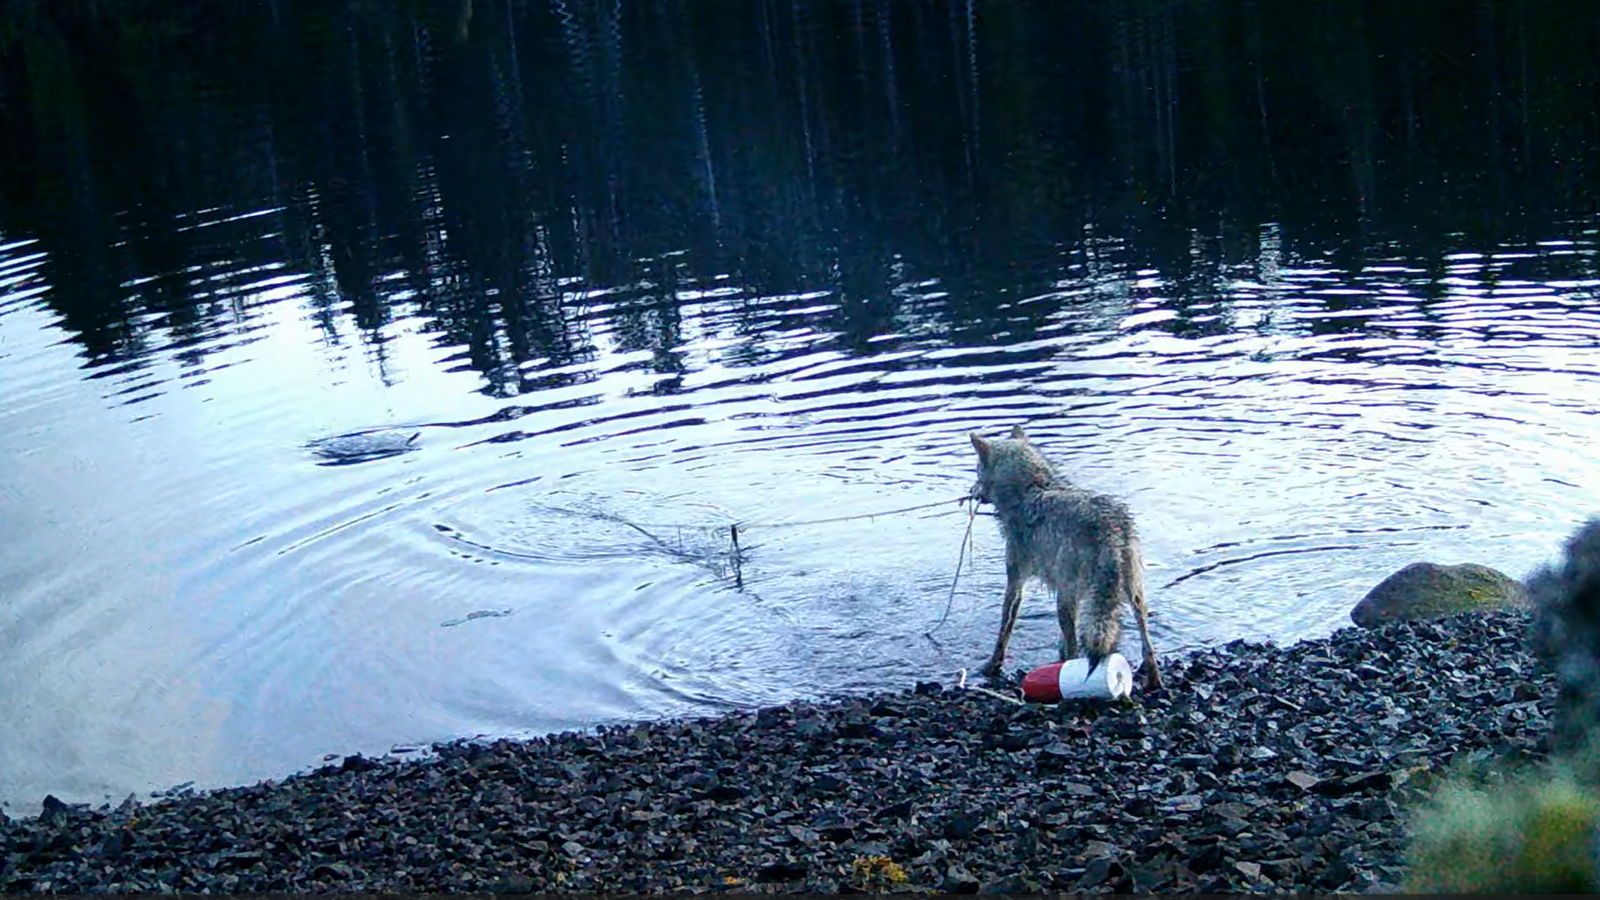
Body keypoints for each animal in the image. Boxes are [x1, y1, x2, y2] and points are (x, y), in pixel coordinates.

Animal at [968, 424, 1161, 691]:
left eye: (977, 470)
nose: (970, 491)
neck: (1033, 488)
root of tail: (1110, 530)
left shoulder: (1016, 583)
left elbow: (1004, 627)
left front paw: (990, 667)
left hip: (1065, 601)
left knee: (1075, 650)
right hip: (1133, 596)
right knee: (1147, 647)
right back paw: (1154, 682)